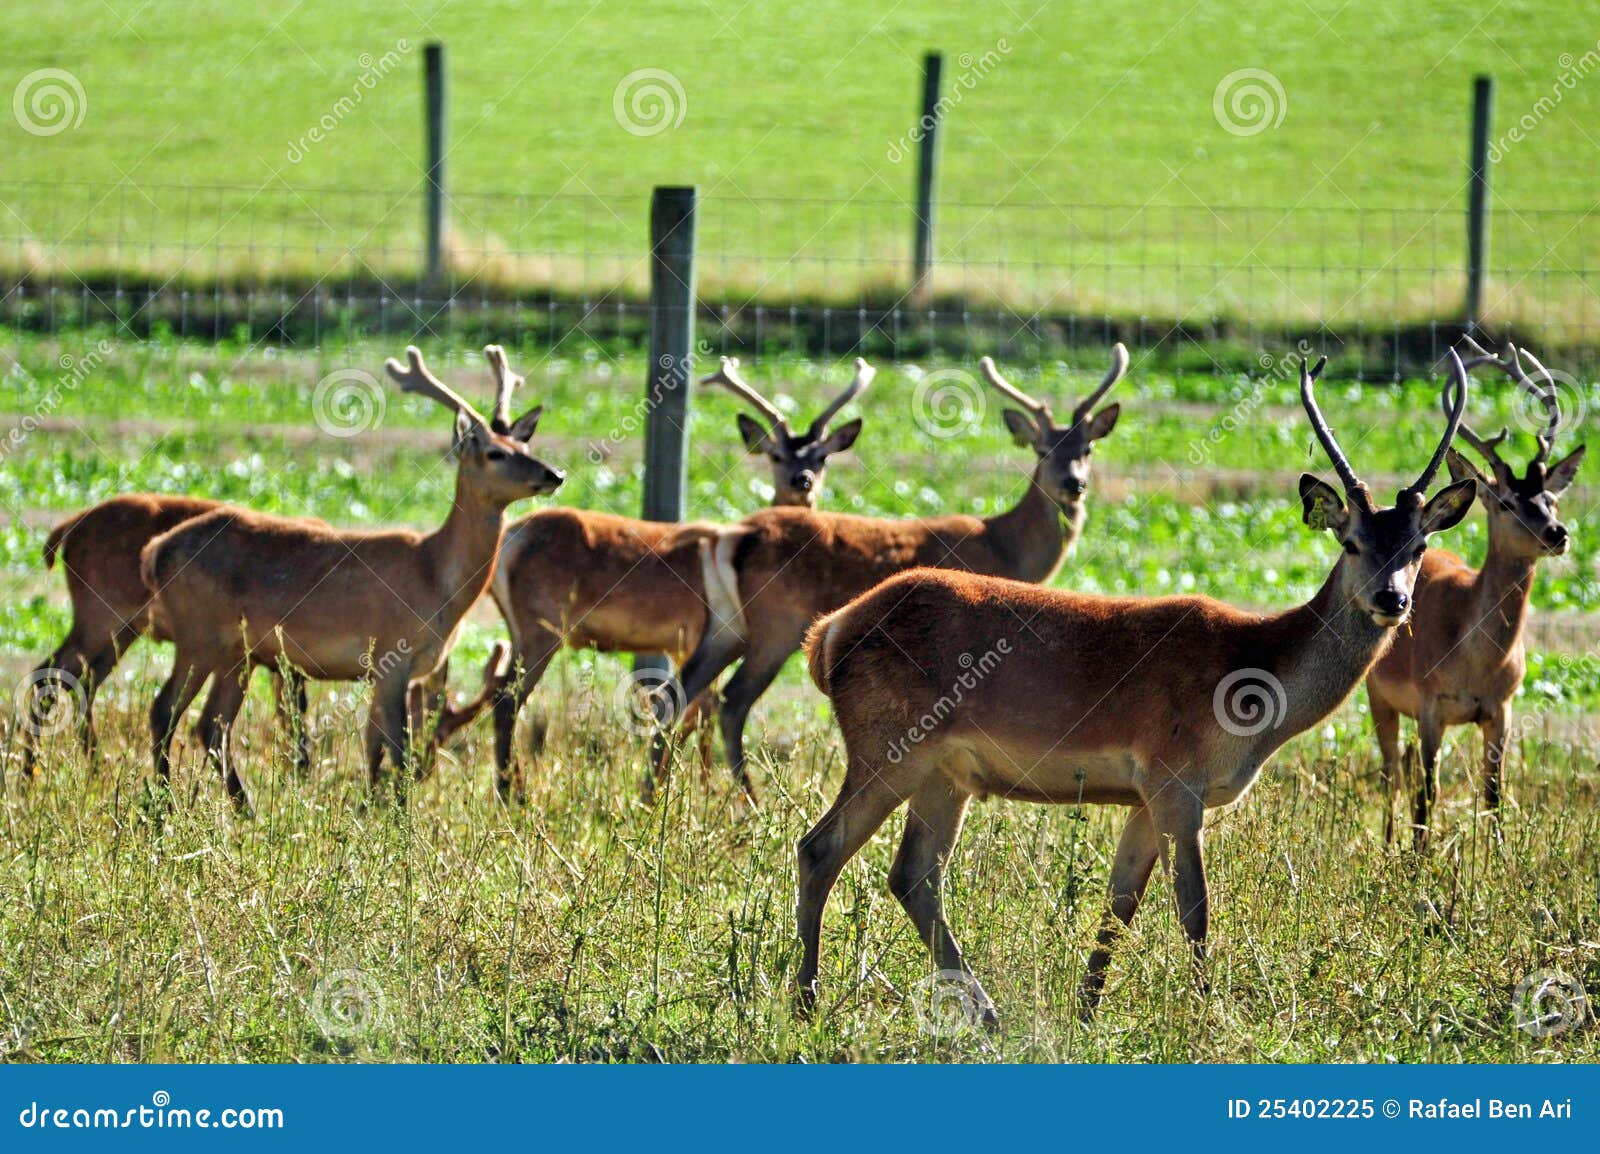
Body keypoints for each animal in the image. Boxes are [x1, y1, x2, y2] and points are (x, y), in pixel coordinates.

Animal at [139, 345, 562, 812]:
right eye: (493, 452)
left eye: (523, 443)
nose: (553, 474)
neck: (436, 578)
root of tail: (156, 550)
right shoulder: (390, 655)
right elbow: (398, 750)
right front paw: (402, 819)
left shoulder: (392, 670)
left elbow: (376, 745)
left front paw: (377, 808)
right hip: (198, 635)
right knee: (164, 711)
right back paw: (163, 808)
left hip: (238, 651)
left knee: (213, 726)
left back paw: (243, 809)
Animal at [425, 357, 875, 801]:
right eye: (776, 456)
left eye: (822, 458)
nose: (803, 481)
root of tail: (512, 539)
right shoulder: (694, 632)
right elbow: (698, 710)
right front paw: (696, 791)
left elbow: (692, 710)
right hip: (542, 626)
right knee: (506, 700)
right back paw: (512, 794)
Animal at [659, 344, 1130, 803]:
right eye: (1043, 451)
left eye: (1087, 450)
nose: (1073, 485)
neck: (1008, 548)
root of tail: (735, 533)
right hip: (778, 623)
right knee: (731, 700)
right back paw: (746, 802)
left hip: (728, 624)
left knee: (677, 691)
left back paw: (656, 794)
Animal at [793, 353, 1476, 1025]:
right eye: (1351, 542)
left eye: (1419, 546)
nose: (1392, 599)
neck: (1255, 687)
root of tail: (828, 634)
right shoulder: (1175, 778)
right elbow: (1194, 907)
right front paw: (1206, 1017)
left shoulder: (1145, 797)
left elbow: (1118, 906)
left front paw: (1087, 1013)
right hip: (891, 744)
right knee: (820, 847)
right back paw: (807, 1001)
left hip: (946, 771)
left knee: (913, 875)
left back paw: (984, 1012)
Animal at [1366, 338, 1585, 850]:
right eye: (1505, 502)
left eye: (1552, 499)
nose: (1557, 533)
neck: (1477, 661)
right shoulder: (1430, 703)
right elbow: (1427, 793)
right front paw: (1418, 859)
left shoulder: (1501, 709)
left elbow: (1494, 795)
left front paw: (1498, 858)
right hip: (1377, 695)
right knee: (1391, 775)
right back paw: (1387, 843)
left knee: (1404, 768)